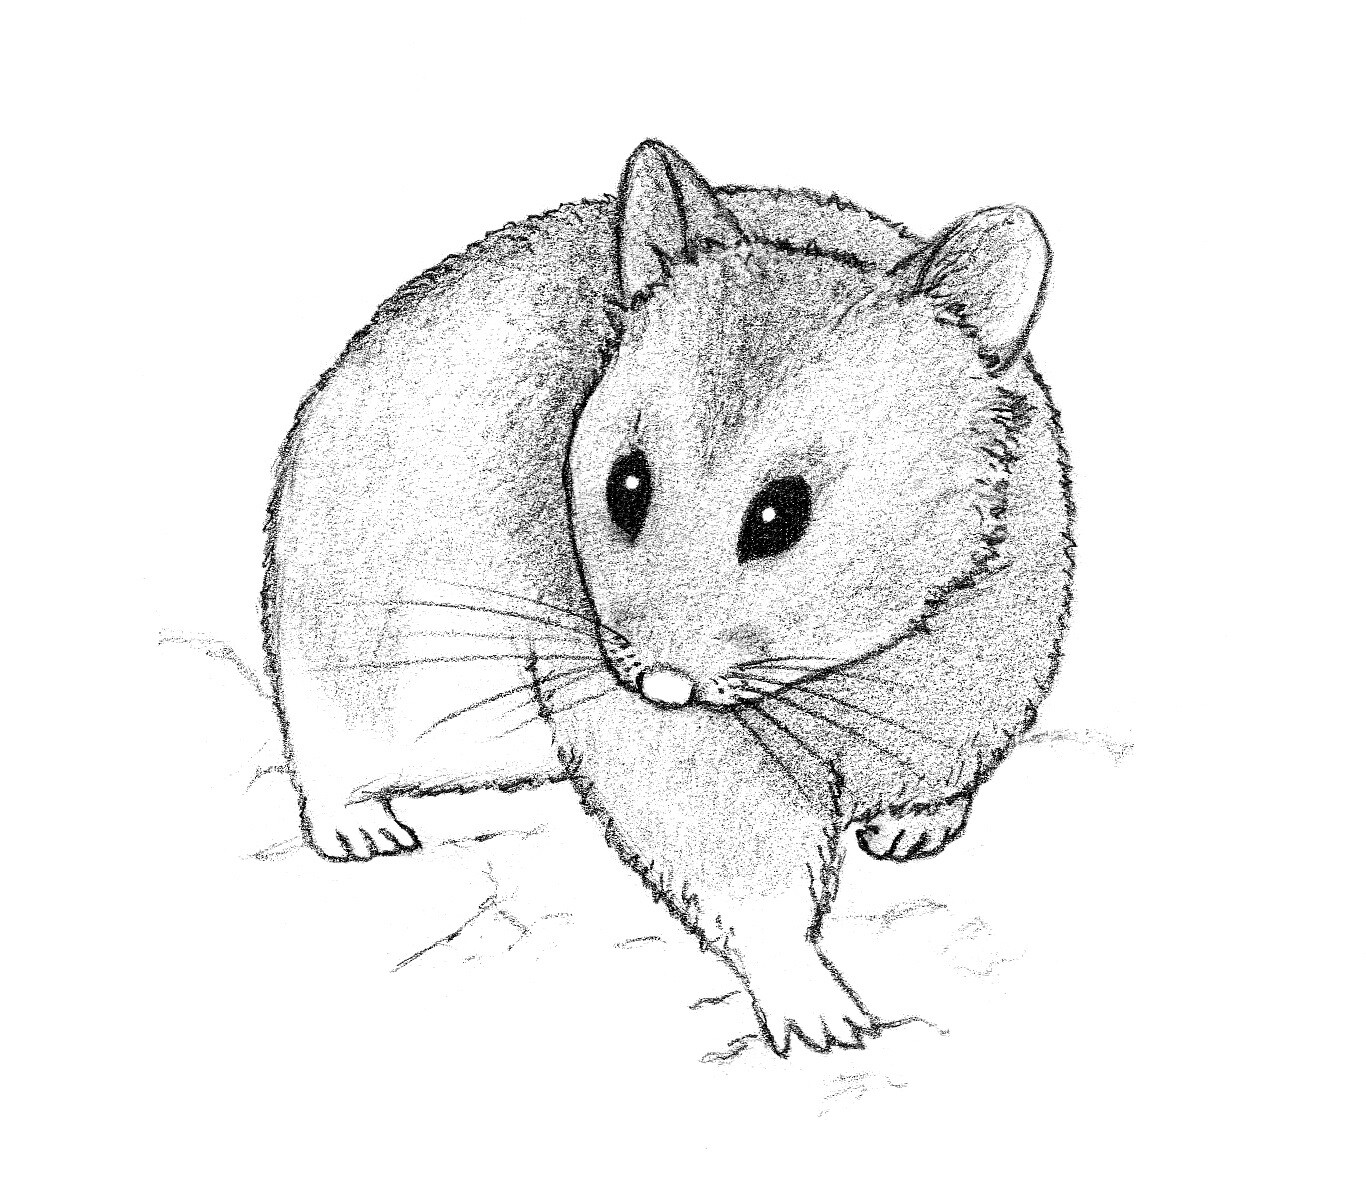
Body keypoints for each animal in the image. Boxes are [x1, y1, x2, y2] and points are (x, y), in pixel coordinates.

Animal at [263, 140, 1073, 1054]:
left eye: (781, 512)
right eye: (626, 483)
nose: (657, 684)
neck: (836, 675)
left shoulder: (983, 667)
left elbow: (943, 773)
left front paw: (908, 833)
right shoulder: (665, 741)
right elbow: (745, 874)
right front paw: (827, 1020)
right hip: (349, 663)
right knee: (326, 757)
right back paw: (366, 833)